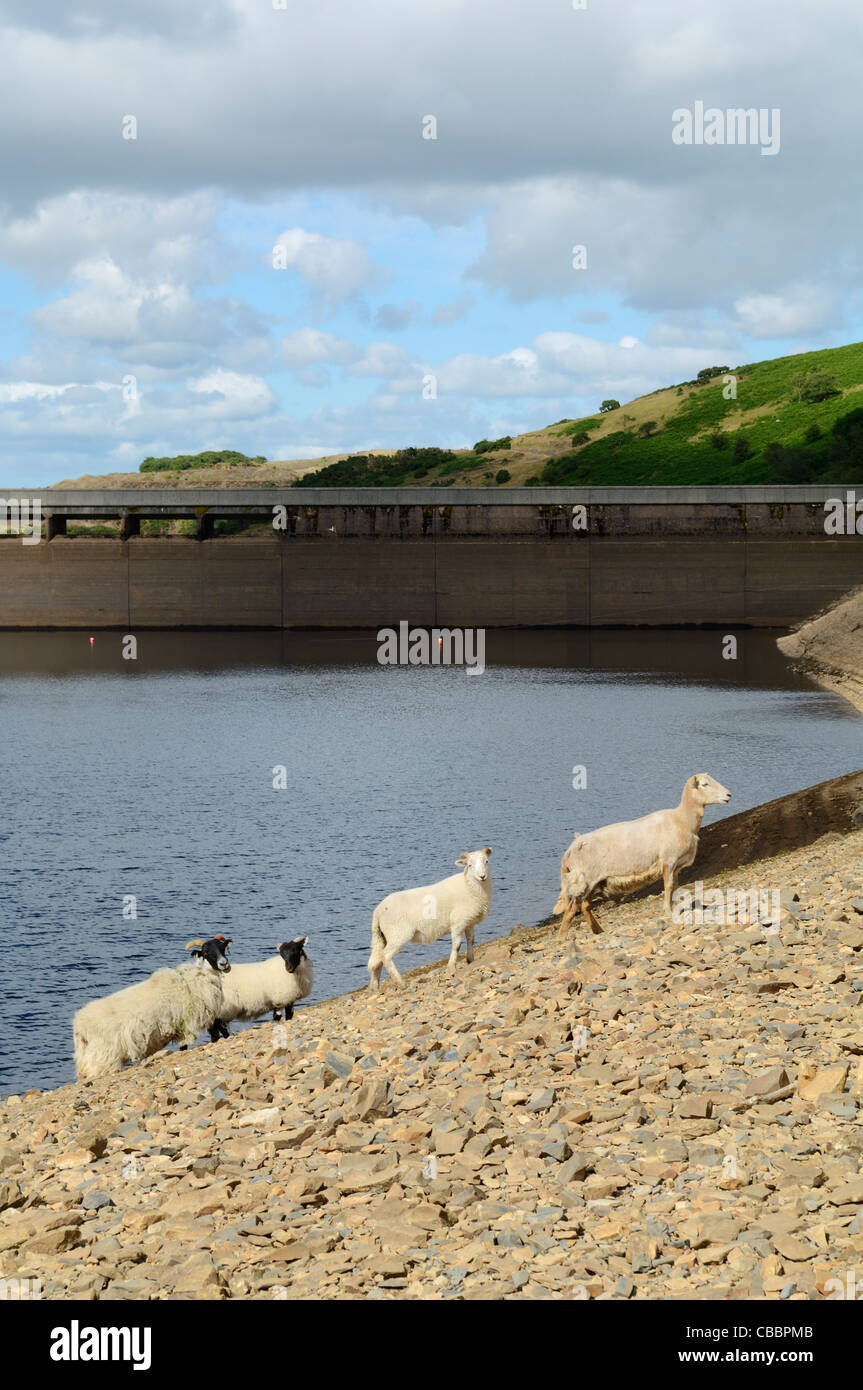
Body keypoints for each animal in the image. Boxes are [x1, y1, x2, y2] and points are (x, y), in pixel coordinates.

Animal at [72, 936, 232, 1081]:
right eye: (206, 952)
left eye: (222, 947)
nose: (224, 964)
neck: (199, 975)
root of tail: (79, 1026)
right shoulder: (190, 1023)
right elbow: (203, 1038)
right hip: (102, 1056)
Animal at [367, 848, 492, 990]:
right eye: (469, 865)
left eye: (486, 861)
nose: (482, 876)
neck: (469, 886)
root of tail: (378, 911)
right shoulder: (458, 922)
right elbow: (457, 945)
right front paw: (451, 968)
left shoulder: (469, 921)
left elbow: (471, 941)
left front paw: (470, 960)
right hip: (398, 934)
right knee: (386, 956)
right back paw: (401, 982)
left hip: (382, 937)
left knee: (377, 960)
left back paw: (375, 987)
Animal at [555, 774, 731, 940]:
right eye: (705, 784)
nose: (729, 795)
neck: (682, 820)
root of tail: (568, 853)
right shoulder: (668, 861)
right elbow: (668, 886)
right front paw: (667, 911)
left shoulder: (676, 865)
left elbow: (674, 886)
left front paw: (673, 907)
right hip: (585, 879)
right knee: (572, 908)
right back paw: (562, 937)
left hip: (594, 881)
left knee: (584, 906)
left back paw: (598, 930)